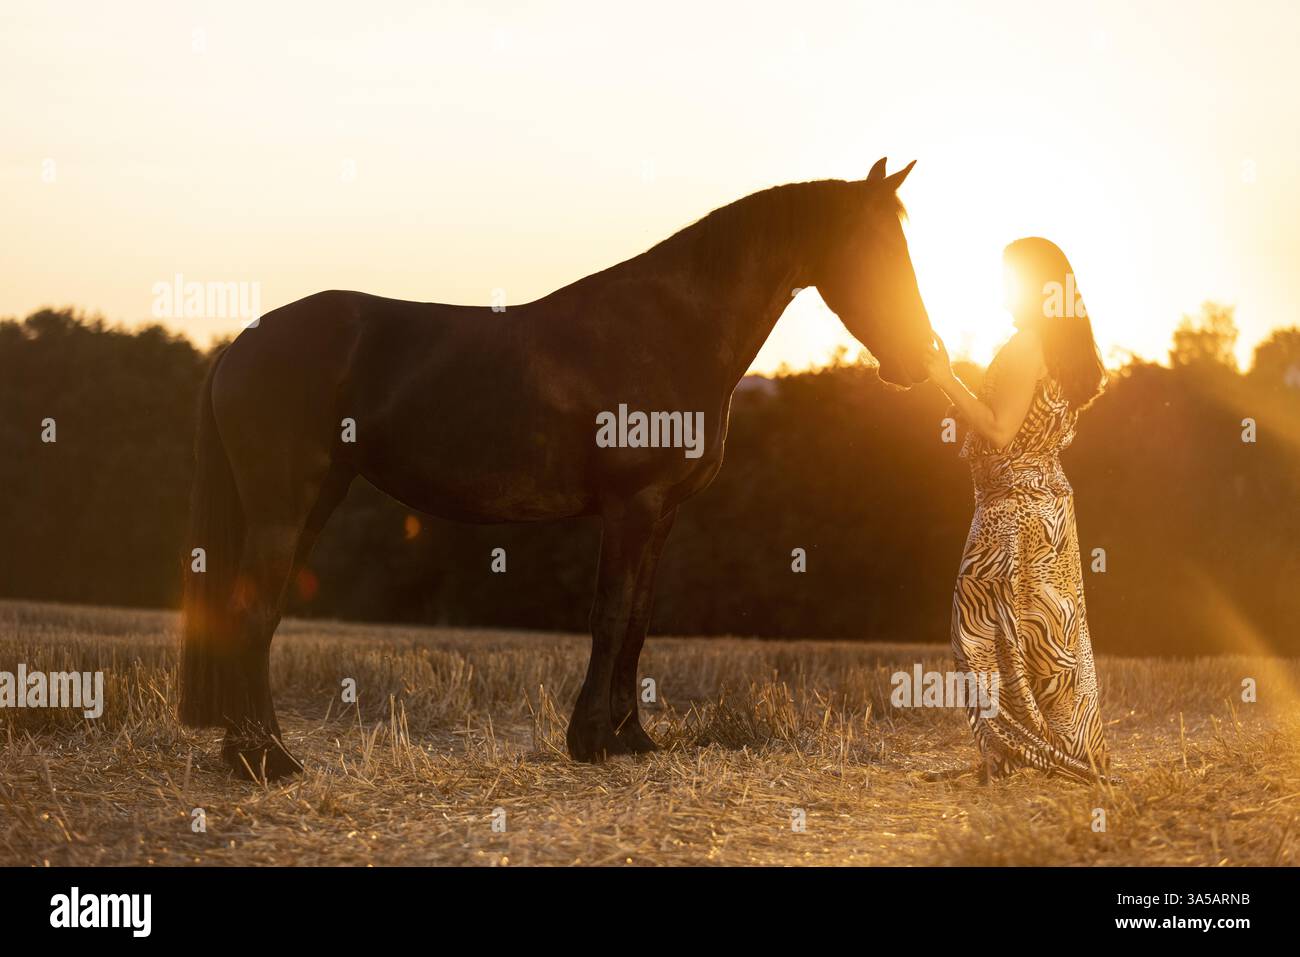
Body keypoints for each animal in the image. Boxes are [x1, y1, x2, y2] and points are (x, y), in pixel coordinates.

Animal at [179, 157, 934, 779]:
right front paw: (592, 740)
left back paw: (249, 751)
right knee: (253, 612)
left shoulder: (662, 512)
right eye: (876, 250)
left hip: (314, 499)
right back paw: (268, 760)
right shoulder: (630, 506)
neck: (669, 330)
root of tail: (241, 342)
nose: (922, 361)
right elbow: (610, 613)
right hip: (284, 505)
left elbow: (639, 619)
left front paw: (633, 738)